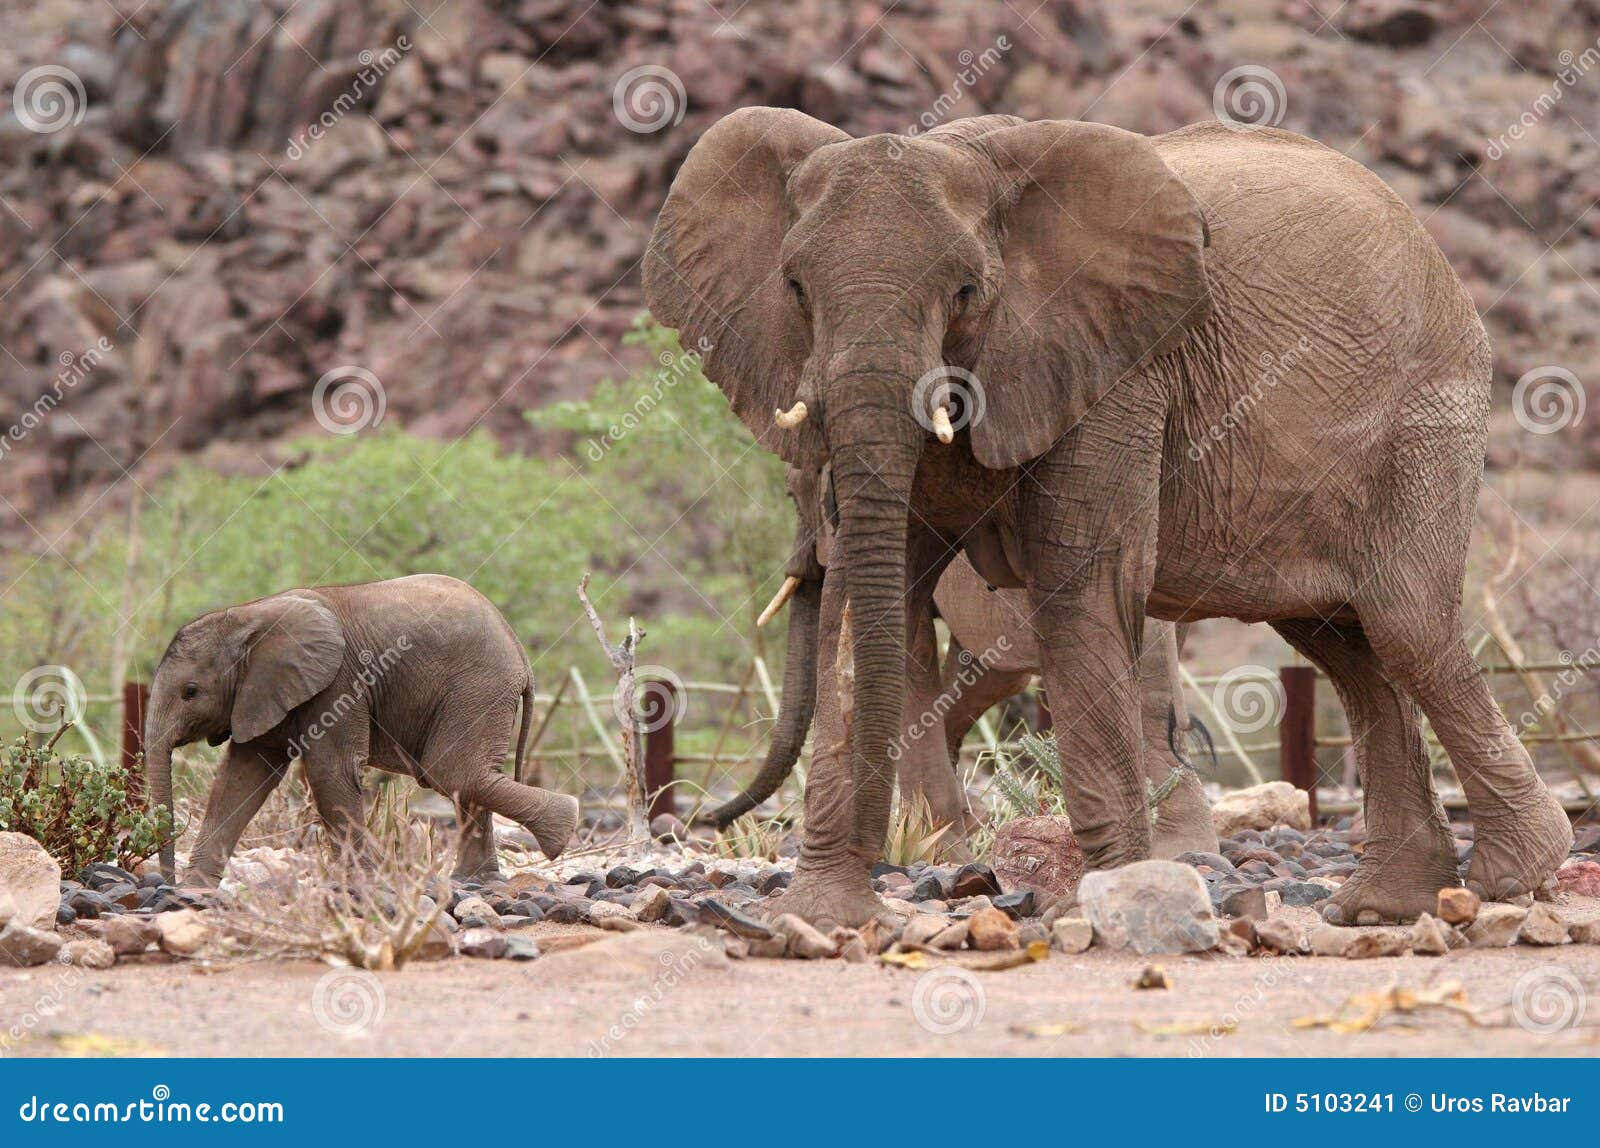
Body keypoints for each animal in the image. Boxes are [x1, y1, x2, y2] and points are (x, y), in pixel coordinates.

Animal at [144, 574, 579, 885]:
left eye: (190, 692)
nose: (166, 881)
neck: (247, 615)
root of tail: (519, 650)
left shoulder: (337, 682)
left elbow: (329, 772)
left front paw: (361, 884)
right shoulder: (261, 695)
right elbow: (240, 779)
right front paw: (196, 890)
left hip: (477, 686)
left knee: (452, 772)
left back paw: (563, 830)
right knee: (464, 776)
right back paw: (474, 880)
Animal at [644, 109, 1571, 928]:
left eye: (966, 290)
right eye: (795, 288)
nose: (687, 821)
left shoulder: (1116, 366)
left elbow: (1080, 588)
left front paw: (1113, 897)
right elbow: (864, 606)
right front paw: (819, 919)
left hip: (1425, 419)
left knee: (1405, 626)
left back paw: (1512, 875)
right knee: (1347, 647)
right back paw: (1384, 905)